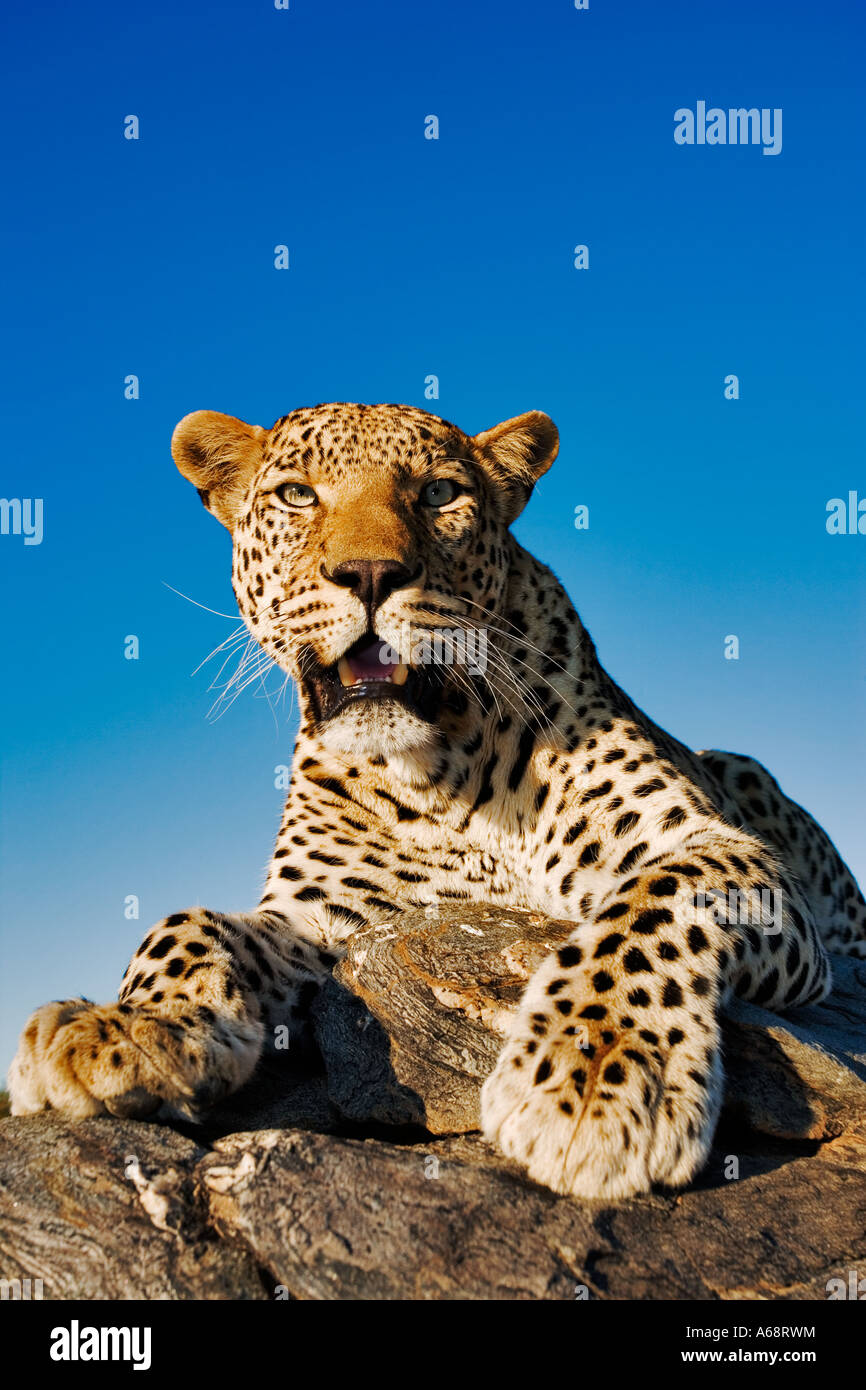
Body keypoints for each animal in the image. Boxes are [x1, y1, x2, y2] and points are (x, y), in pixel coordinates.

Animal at [9, 401, 866, 1199]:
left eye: (439, 493)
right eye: (297, 495)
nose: (368, 574)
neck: (439, 769)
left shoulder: (707, 846)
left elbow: (647, 911)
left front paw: (593, 1079)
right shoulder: (332, 924)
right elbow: (183, 923)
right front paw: (126, 1028)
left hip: (746, 772)